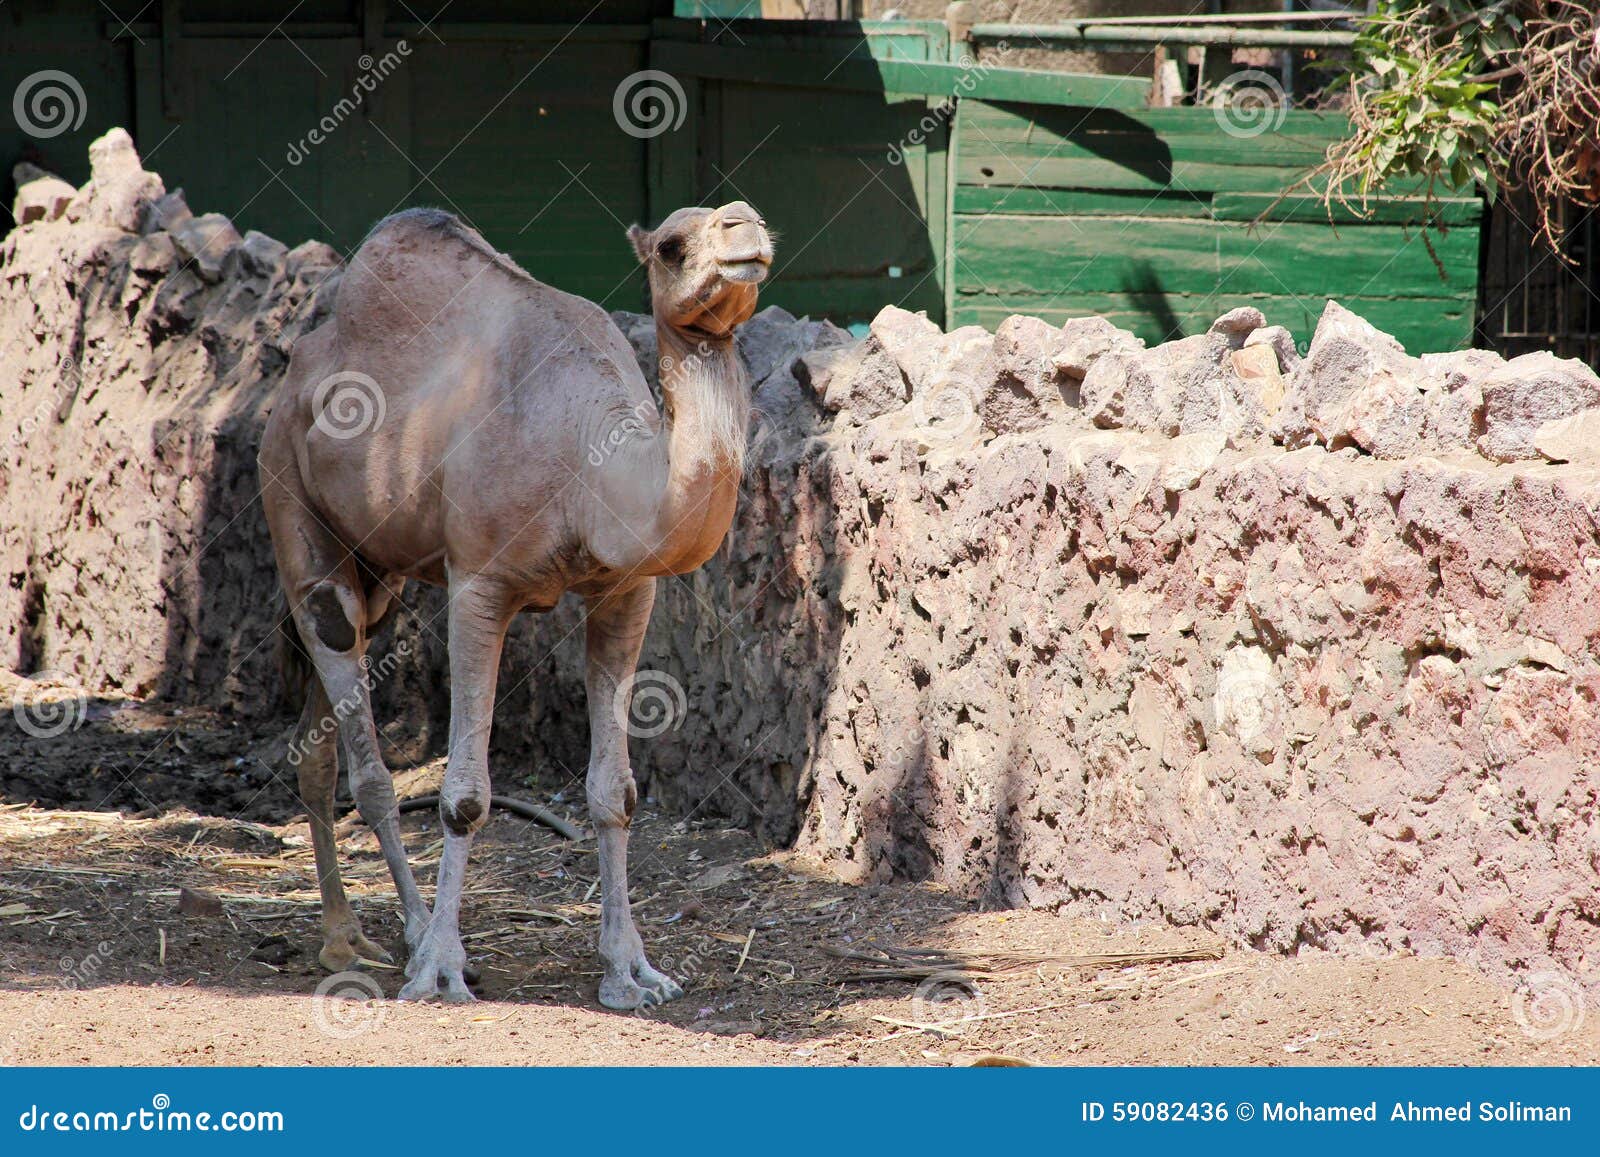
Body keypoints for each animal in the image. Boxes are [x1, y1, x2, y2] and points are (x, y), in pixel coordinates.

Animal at [258, 201, 772, 1007]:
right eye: (670, 245)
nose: (743, 225)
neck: (590, 464)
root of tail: (294, 377)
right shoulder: (479, 583)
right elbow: (465, 795)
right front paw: (441, 969)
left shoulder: (626, 591)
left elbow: (616, 791)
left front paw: (632, 974)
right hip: (287, 493)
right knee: (366, 758)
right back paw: (411, 940)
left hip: (378, 574)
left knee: (318, 740)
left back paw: (343, 936)